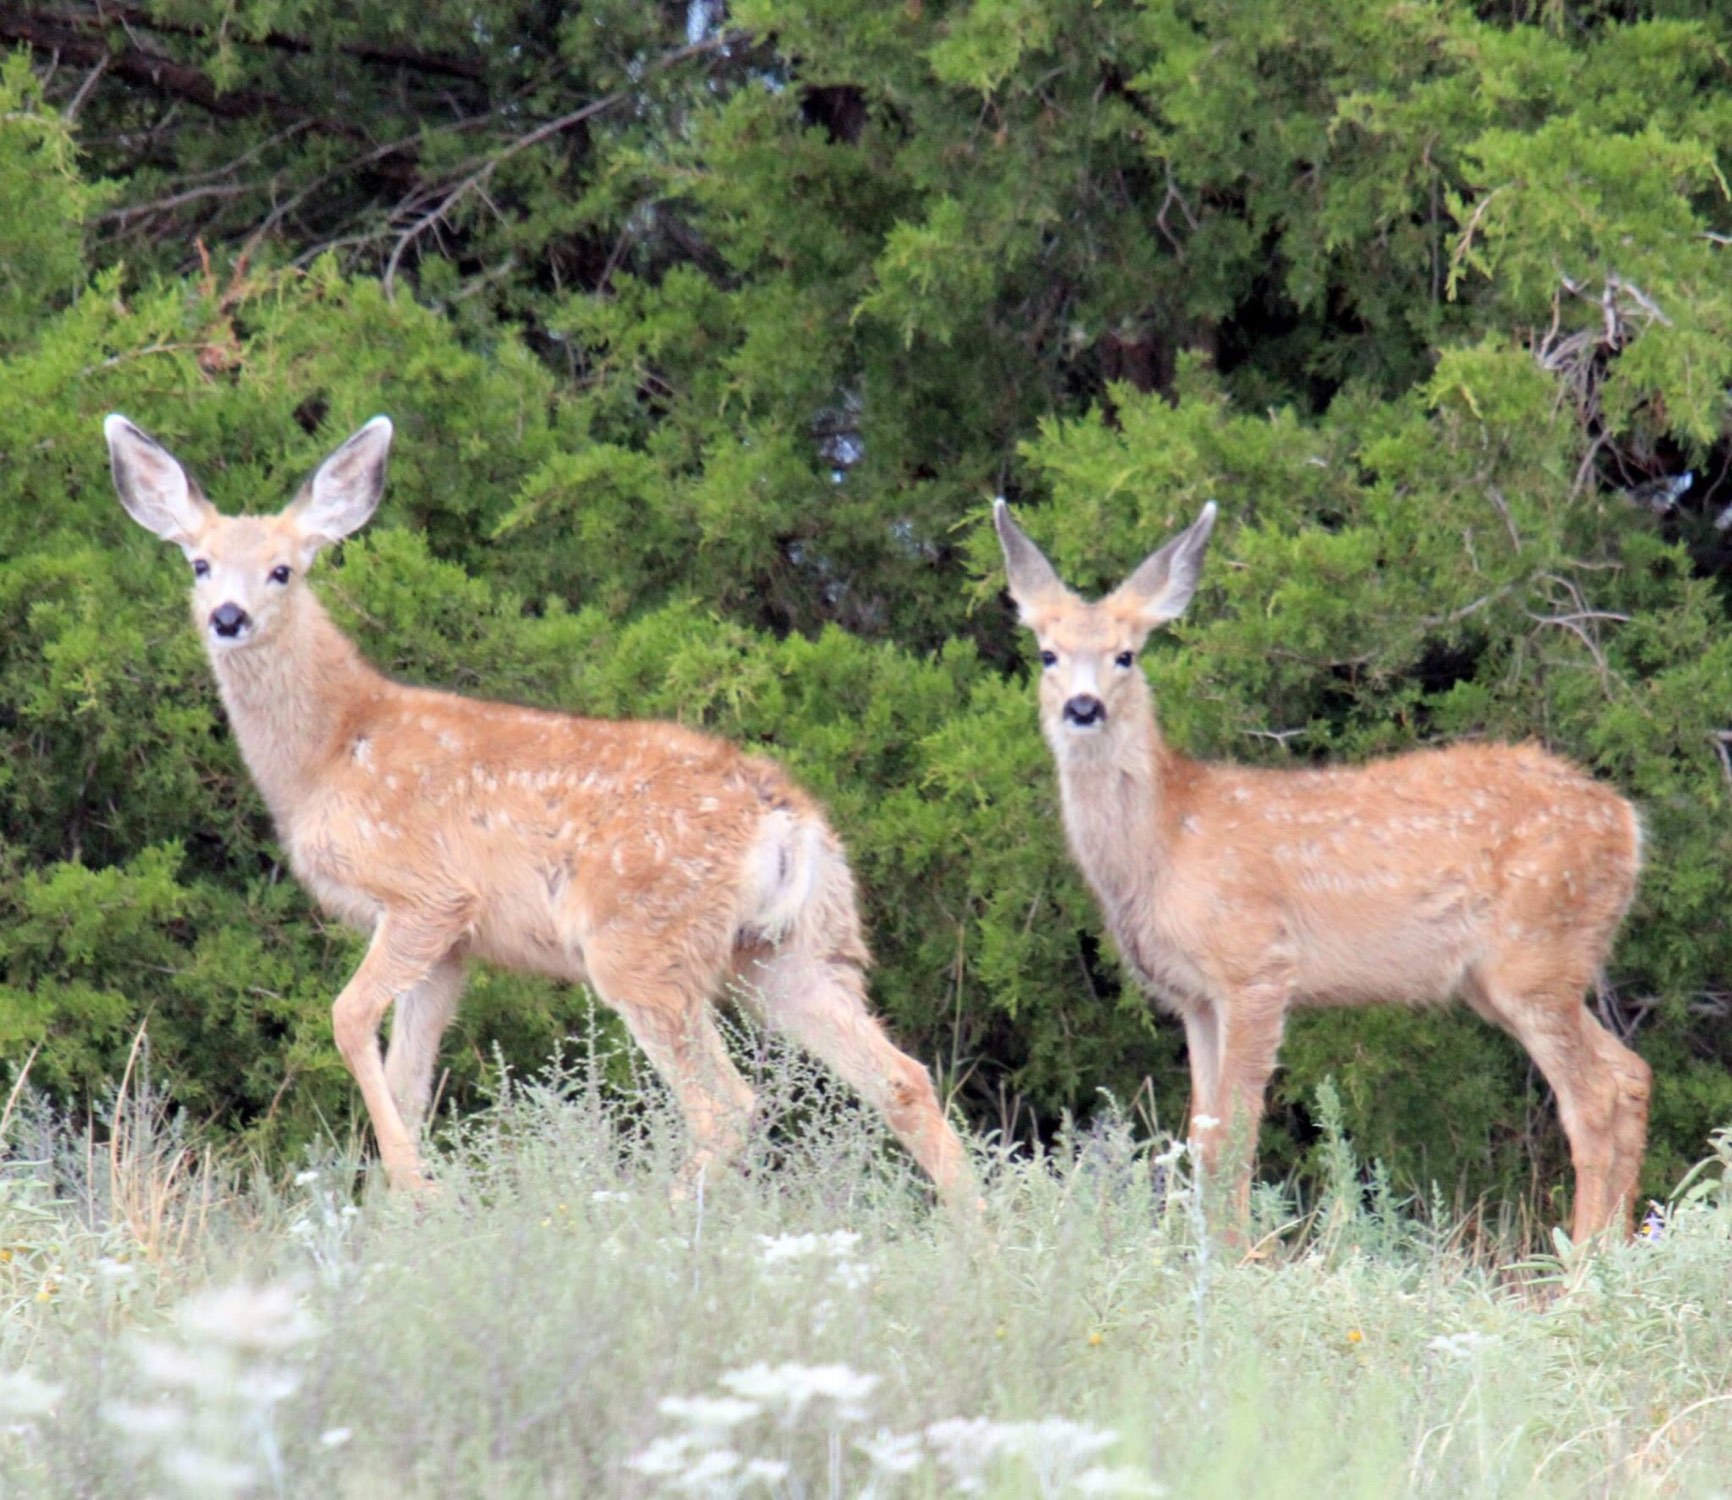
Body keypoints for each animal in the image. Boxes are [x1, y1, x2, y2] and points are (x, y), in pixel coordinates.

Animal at [103, 413, 973, 1209]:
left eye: (283, 569)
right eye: (200, 562)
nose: (228, 617)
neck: (332, 752)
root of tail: (787, 822)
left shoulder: (424, 893)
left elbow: (348, 1018)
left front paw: (415, 1189)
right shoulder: (454, 946)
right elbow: (410, 1077)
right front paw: (399, 1212)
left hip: (644, 943)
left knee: (726, 1105)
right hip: (794, 949)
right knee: (903, 1078)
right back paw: (977, 1236)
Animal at [993, 499, 1652, 1242]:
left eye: (1125, 655)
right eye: (1047, 653)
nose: (1084, 707)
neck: (1165, 842)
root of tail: (1627, 822)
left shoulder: (1257, 966)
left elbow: (1234, 1137)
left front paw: (1239, 1256)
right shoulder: (1195, 999)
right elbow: (1201, 1134)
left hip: (1537, 954)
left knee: (1594, 1096)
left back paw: (1583, 1259)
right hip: (1517, 975)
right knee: (1631, 1073)